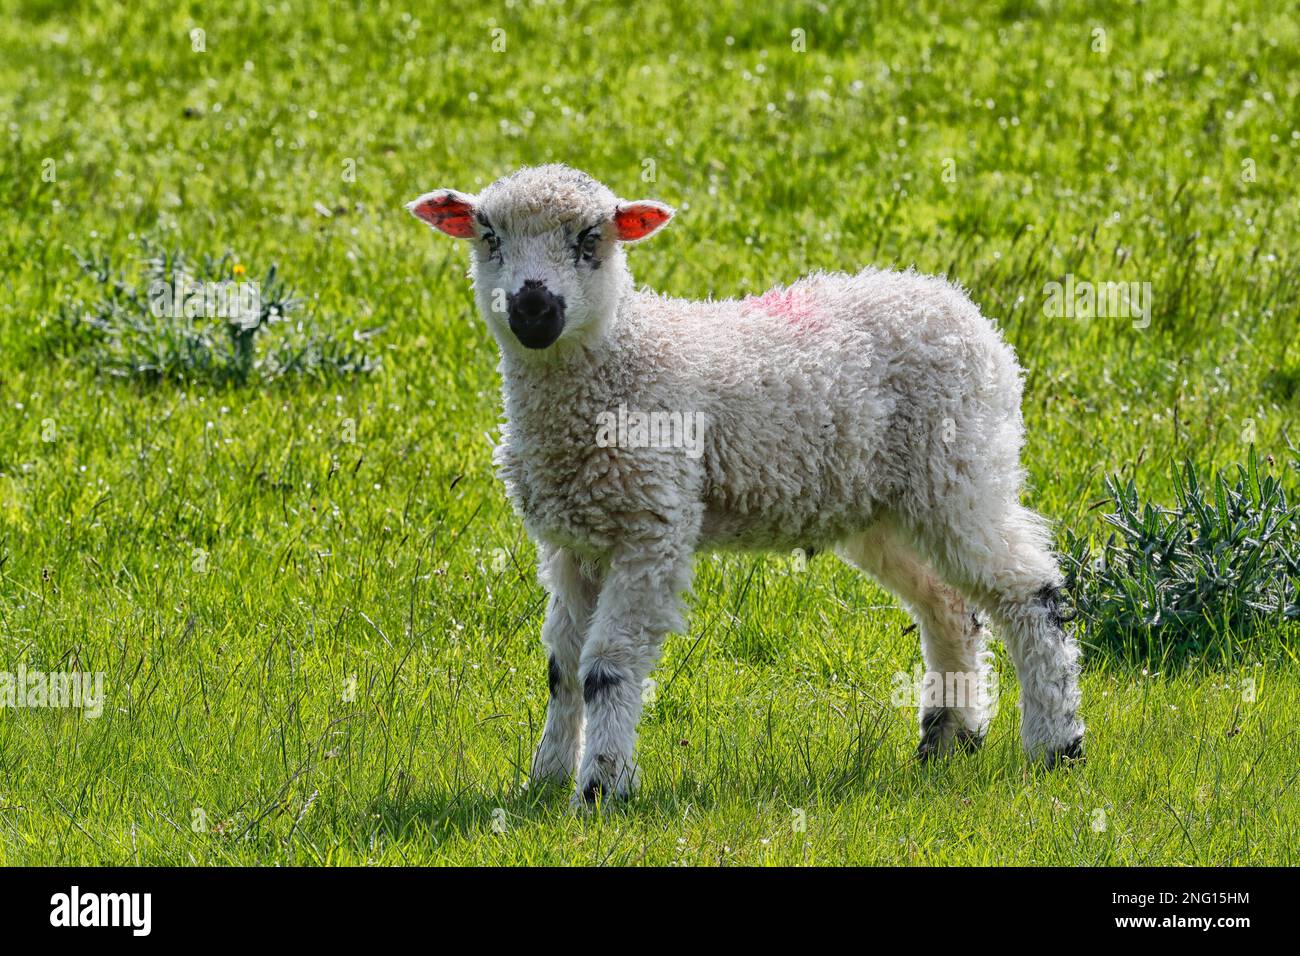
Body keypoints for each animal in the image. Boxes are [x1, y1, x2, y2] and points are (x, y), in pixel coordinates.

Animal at [407, 164, 1084, 804]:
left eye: (589, 238)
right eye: (489, 237)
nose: (534, 309)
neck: (622, 356)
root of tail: (955, 302)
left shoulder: (652, 528)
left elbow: (607, 667)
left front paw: (601, 789)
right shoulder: (573, 542)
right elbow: (564, 667)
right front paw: (543, 782)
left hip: (961, 469)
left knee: (1031, 593)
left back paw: (1057, 746)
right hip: (884, 507)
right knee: (948, 607)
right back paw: (948, 741)